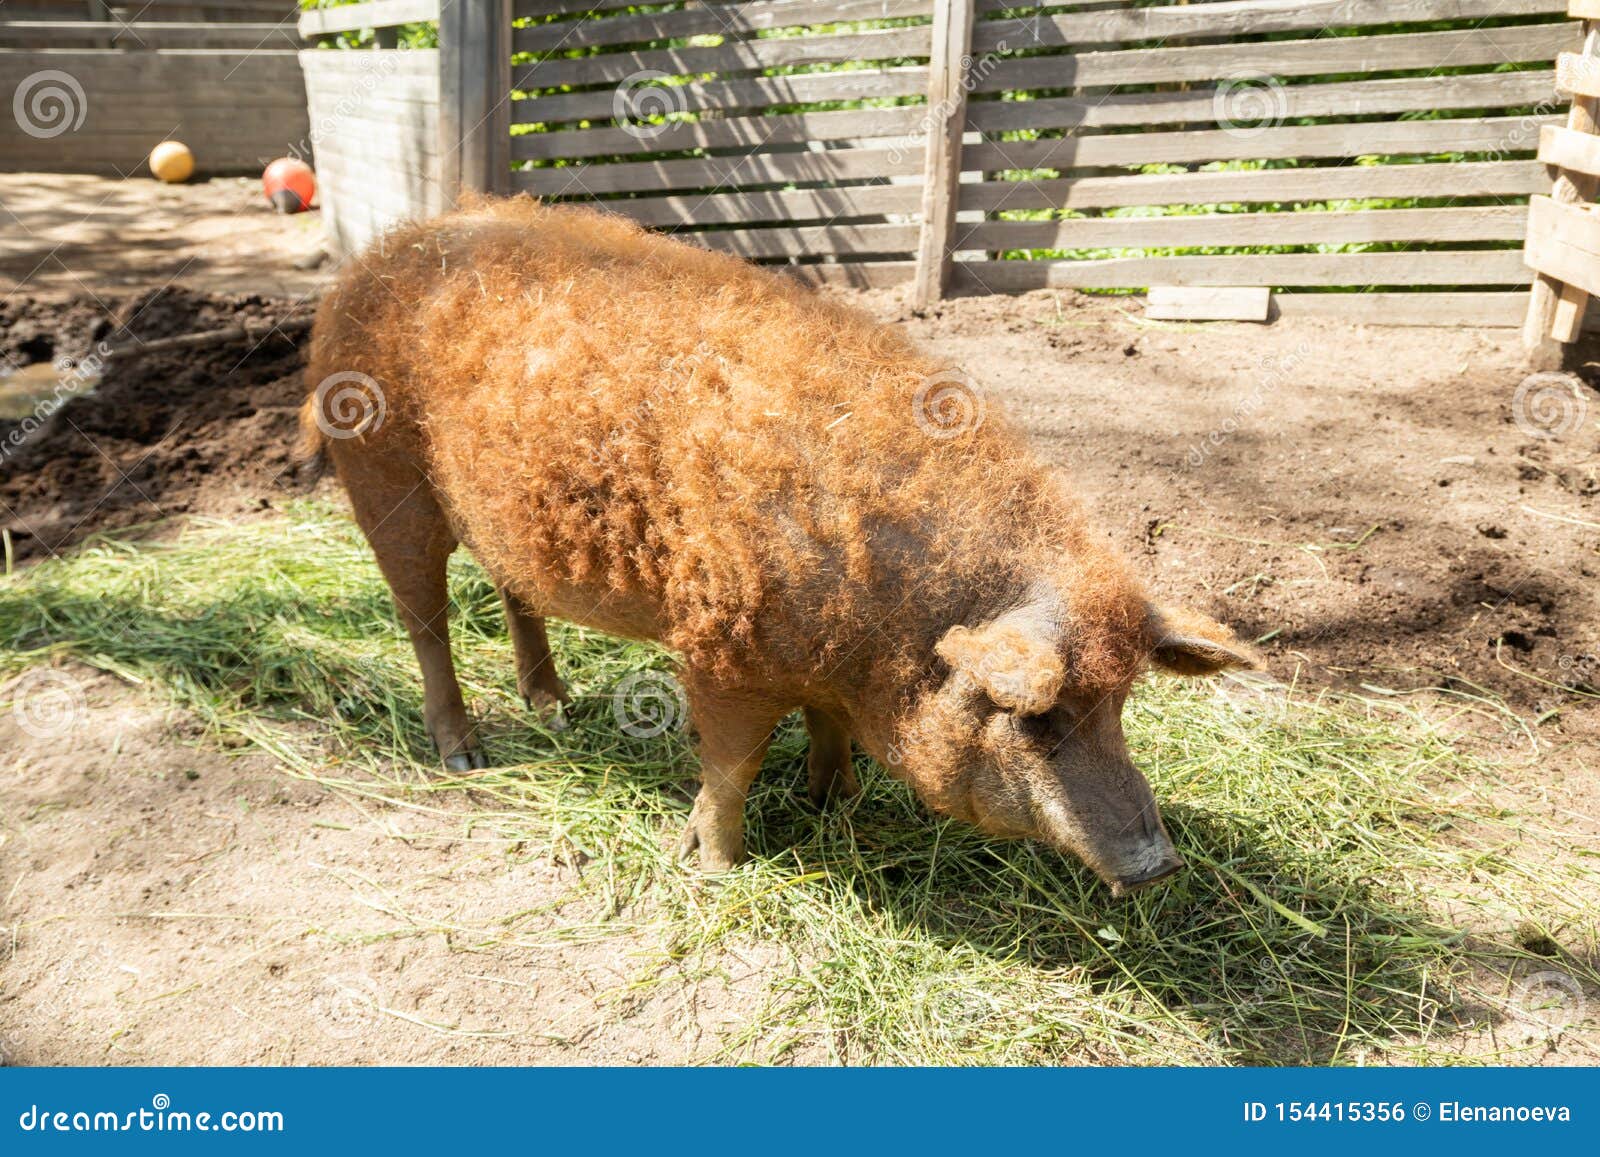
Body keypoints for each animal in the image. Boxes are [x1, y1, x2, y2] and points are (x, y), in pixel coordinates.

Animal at [297, 197, 1254, 898]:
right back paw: (464, 753)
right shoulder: (719, 648)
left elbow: (823, 727)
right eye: (1037, 718)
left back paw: (555, 707)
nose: (1159, 863)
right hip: (383, 480)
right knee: (423, 617)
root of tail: (375, 259)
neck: (891, 620)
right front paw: (716, 866)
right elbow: (732, 764)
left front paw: (835, 801)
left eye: (1120, 704)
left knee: (512, 590)